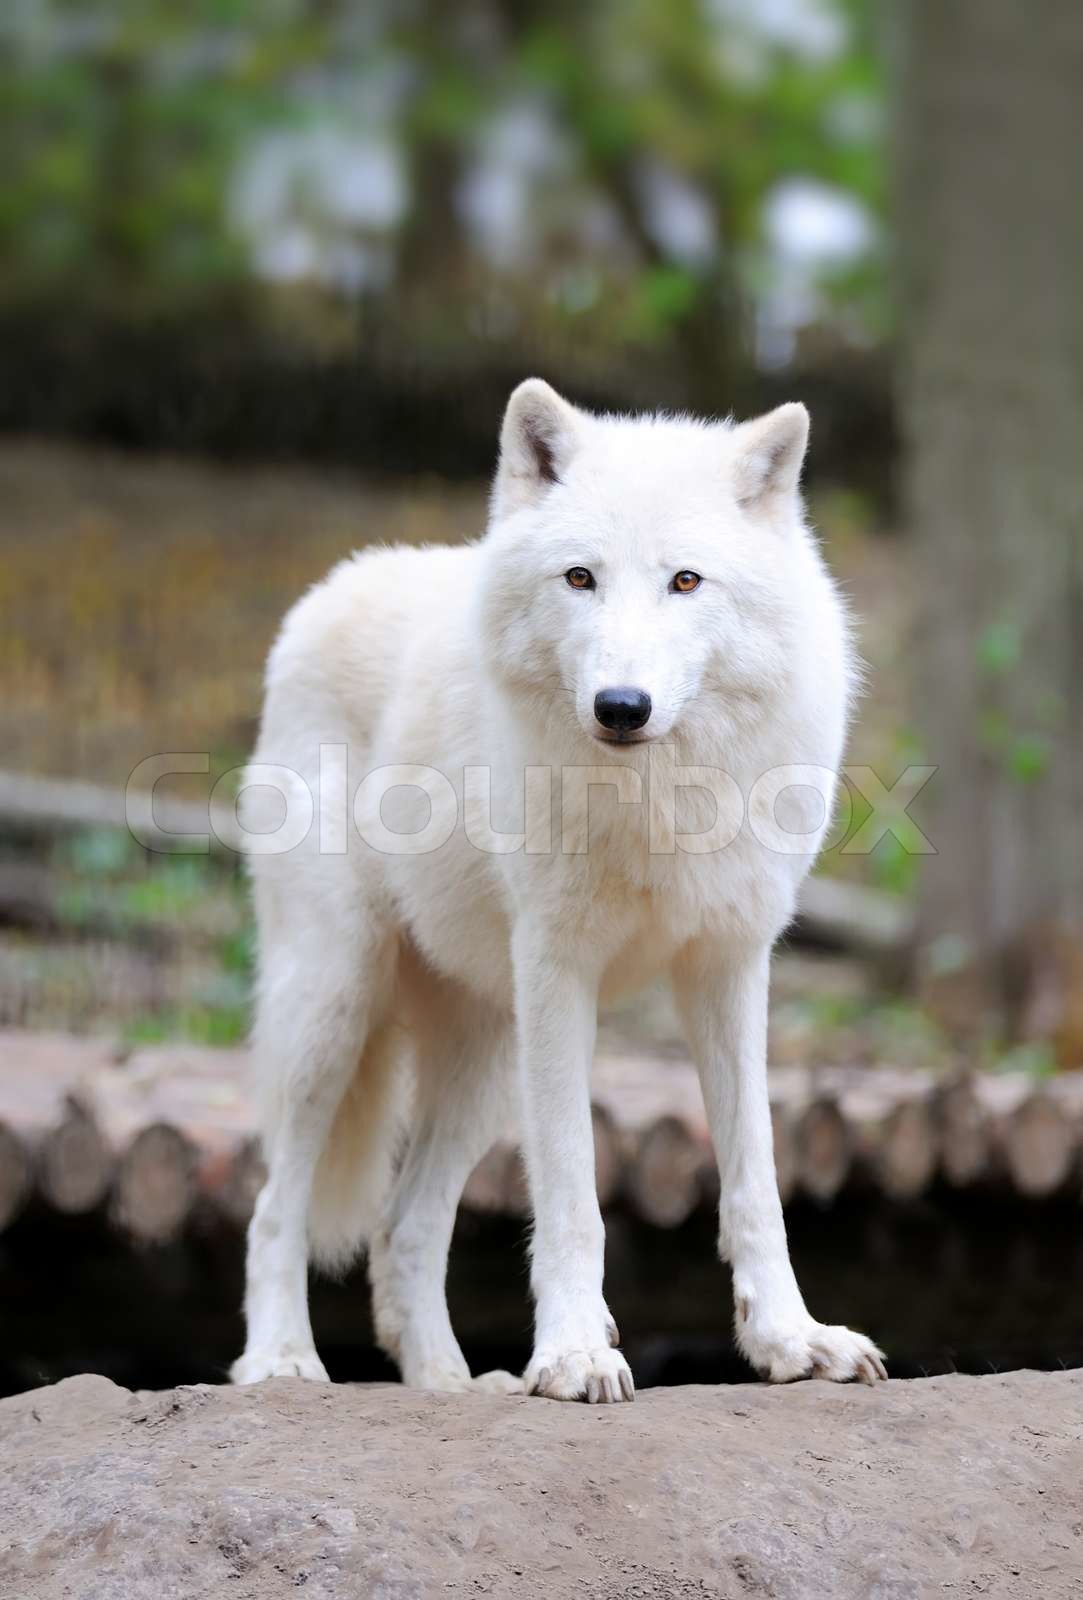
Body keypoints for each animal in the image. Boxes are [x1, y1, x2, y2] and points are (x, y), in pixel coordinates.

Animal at [231, 380, 886, 1401]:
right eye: (579, 579)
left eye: (685, 582)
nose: (620, 707)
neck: (657, 799)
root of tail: (333, 584)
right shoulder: (557, 973)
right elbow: (573, 1193)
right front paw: (576, 1353)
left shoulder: (730, 966)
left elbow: (755, 1180)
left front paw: (789, 1340)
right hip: (336, 1006)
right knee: (274, 1205)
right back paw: (282, 1360)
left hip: (483, 1058)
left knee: (403, 1226)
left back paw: (452, 1386)